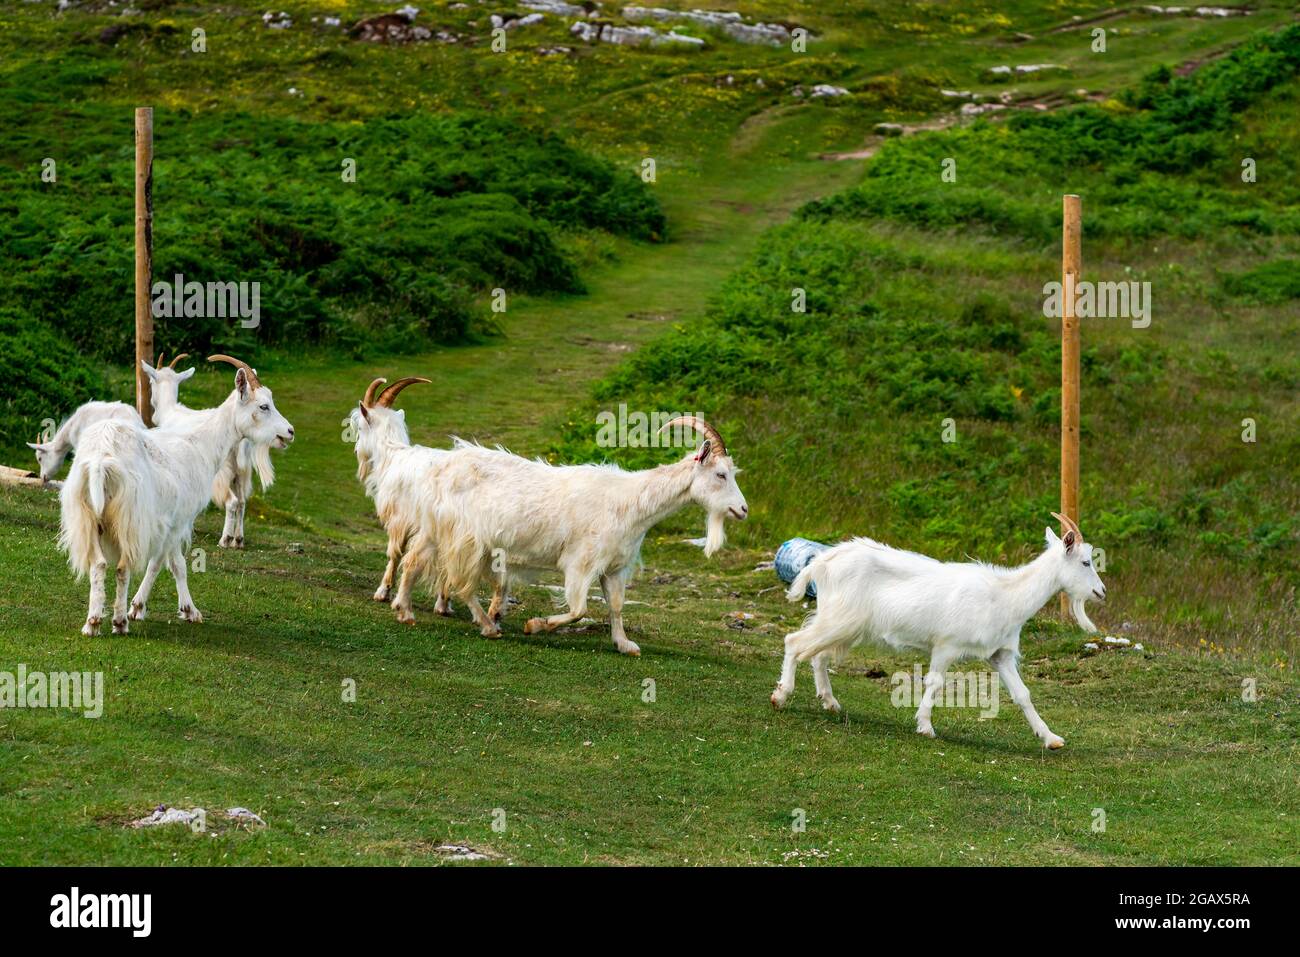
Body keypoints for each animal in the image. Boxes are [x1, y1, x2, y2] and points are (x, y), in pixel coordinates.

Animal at [142, 352, 278, 549]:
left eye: (151, 383)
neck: (172, 412)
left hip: (222, 473)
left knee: (232, 502)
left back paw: (225, 538)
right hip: (241, 472)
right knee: (242, 501)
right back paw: (238, 540)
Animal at [426, 417, 748, 654]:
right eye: (720, 474)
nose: (743, 509)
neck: (629, 504)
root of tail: (447, 464)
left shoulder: (615, 567)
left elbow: (616, 606)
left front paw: (624, 644)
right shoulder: (581, 563)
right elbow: (579, 609)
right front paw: (536, 625)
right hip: (466, 537)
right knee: (461, 580)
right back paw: (485, 624)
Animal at [770, 513, 1105, 749]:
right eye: (1086, 562)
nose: (1101, 591)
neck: (1005, 596)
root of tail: (824, 560)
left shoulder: (1000, 654)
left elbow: (1022, 694)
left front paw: (1051, 738)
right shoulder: (947, 644)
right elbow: (935, 682)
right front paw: (925, 726)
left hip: (844, 624)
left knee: (818, 655)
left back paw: (829, 702)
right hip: (841, 619)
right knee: (794, 642)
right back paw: (781, 695)